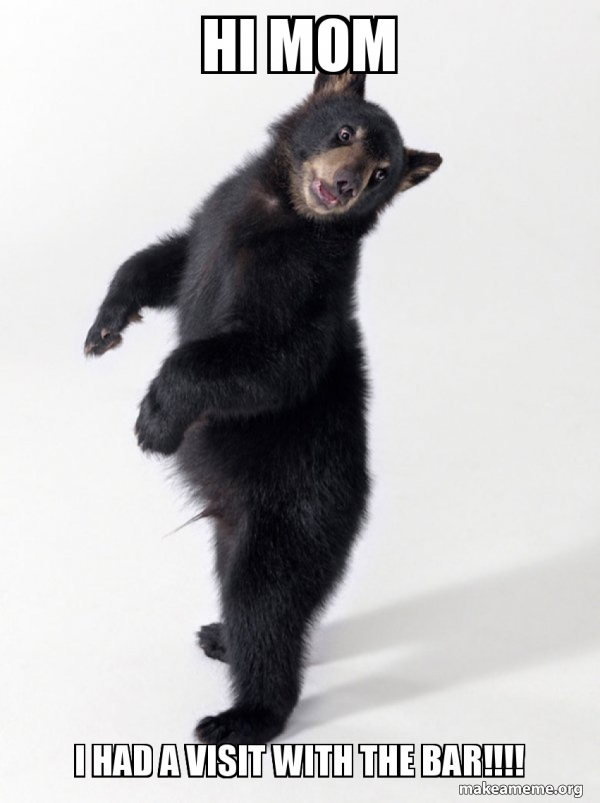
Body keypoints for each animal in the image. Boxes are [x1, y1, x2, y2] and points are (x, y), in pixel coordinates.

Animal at [84, 69, 441, 745]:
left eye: (384, 172)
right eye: (345, 131)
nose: (347, 183)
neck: (280, 212)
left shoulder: (300, 284)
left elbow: (269, 362)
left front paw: (154, 422)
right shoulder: (214, 217)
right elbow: (168, 260)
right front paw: (106, 324)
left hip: (290, 519)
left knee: (266, 605)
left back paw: (241, 716)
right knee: (269, 604)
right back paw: (221, 636)